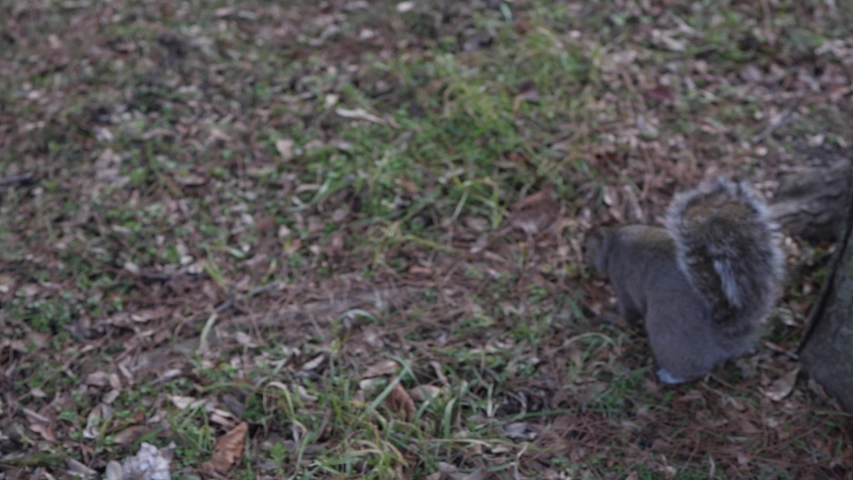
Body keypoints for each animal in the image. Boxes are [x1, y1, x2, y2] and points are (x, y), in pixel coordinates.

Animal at [585, 177, 785, 384]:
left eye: (586, 248)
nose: (585, 261)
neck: (613, 240)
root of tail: (722, 343)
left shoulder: (620, 280)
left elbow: (628, 313)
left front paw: (611, 318)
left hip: (664, 332)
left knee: (691, 370)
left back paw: (670, 376)